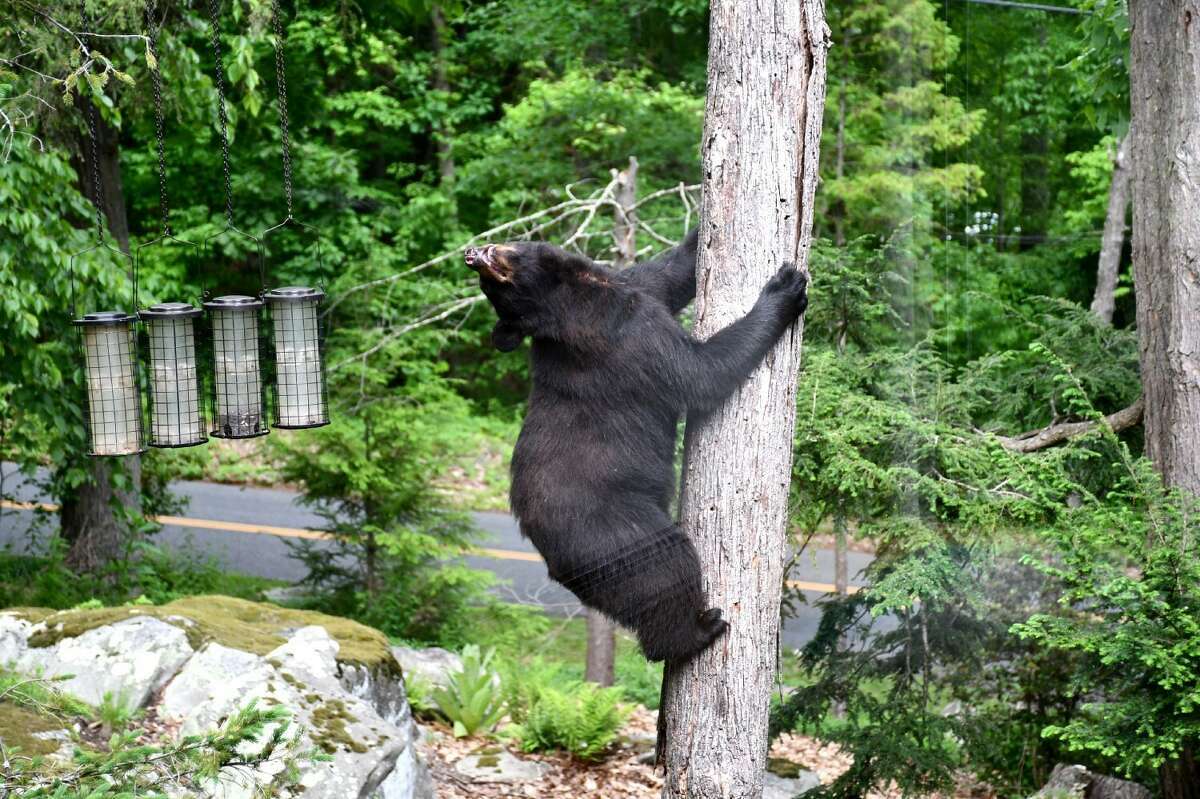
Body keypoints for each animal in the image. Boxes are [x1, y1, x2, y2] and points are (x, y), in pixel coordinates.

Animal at [465, 230, 807, 662]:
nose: (473, 254)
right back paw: (697, 631)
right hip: (620, 534)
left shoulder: (632, 286)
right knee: (667, 568)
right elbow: (700, 372)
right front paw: (784, 290)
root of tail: (550, 558)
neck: (574, 290)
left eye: (493, 285)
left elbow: (671, 273)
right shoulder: (629, 335)